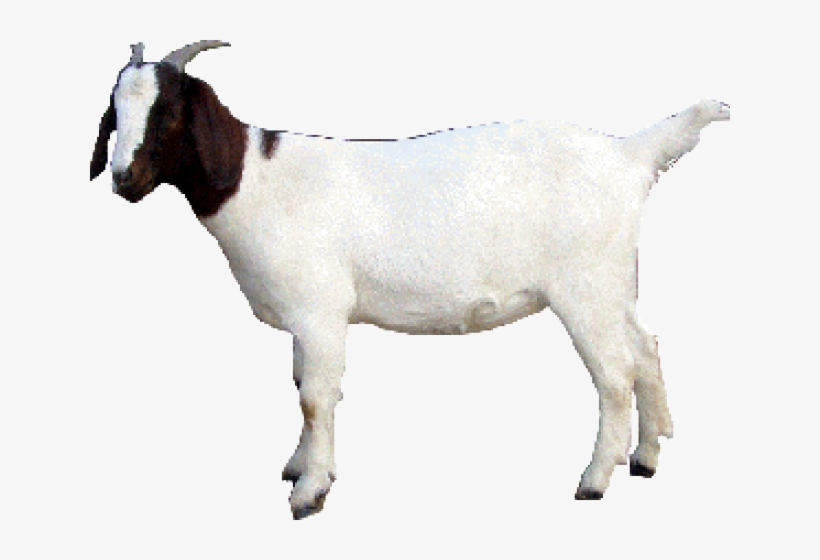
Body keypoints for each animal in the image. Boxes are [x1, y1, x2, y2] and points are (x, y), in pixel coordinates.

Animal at [90, 40, 730, 519]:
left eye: (169, 111)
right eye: (114, 112)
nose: (123, 179)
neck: (257, 181)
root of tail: (629, 155)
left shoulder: (319, 311)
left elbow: (315, 398)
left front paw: (309, 493)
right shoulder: (308, 320)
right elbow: (306, 388)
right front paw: (301, 467)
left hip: (583, 286)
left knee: (614, 374)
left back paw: (596, 478)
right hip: (615, 278)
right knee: (645, 348)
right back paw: (647, 457)